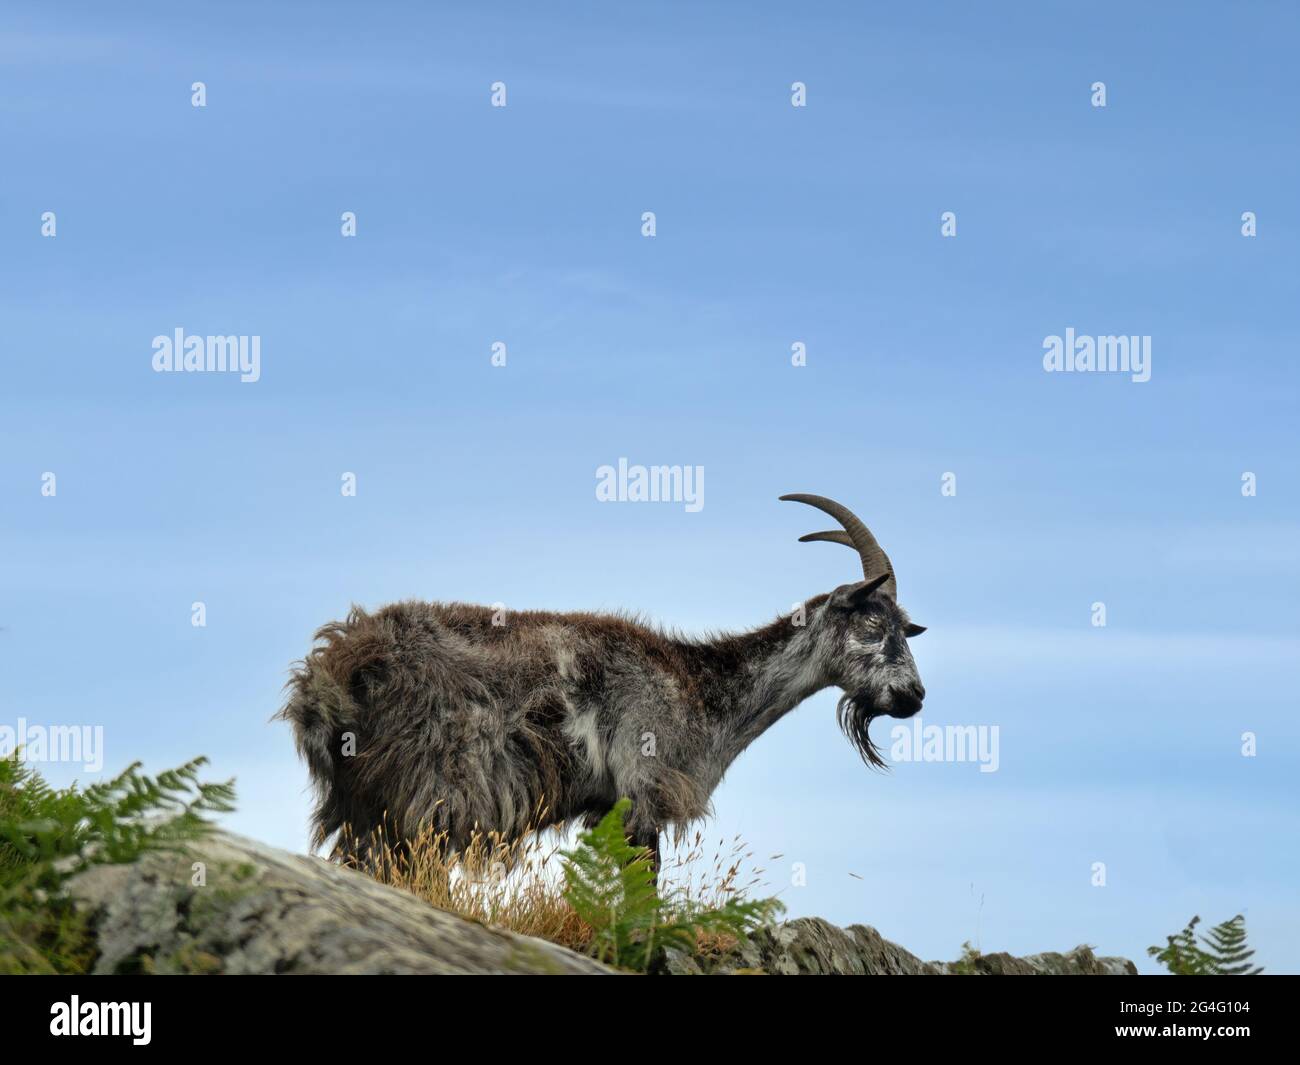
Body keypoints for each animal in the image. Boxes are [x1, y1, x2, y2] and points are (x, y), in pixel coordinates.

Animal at [278, 494, 927, 869]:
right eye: (872, 622)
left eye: (907, 628)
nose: (915, 697)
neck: (698, 686)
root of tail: (331, 670)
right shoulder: (643, 785)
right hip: (417, 791)